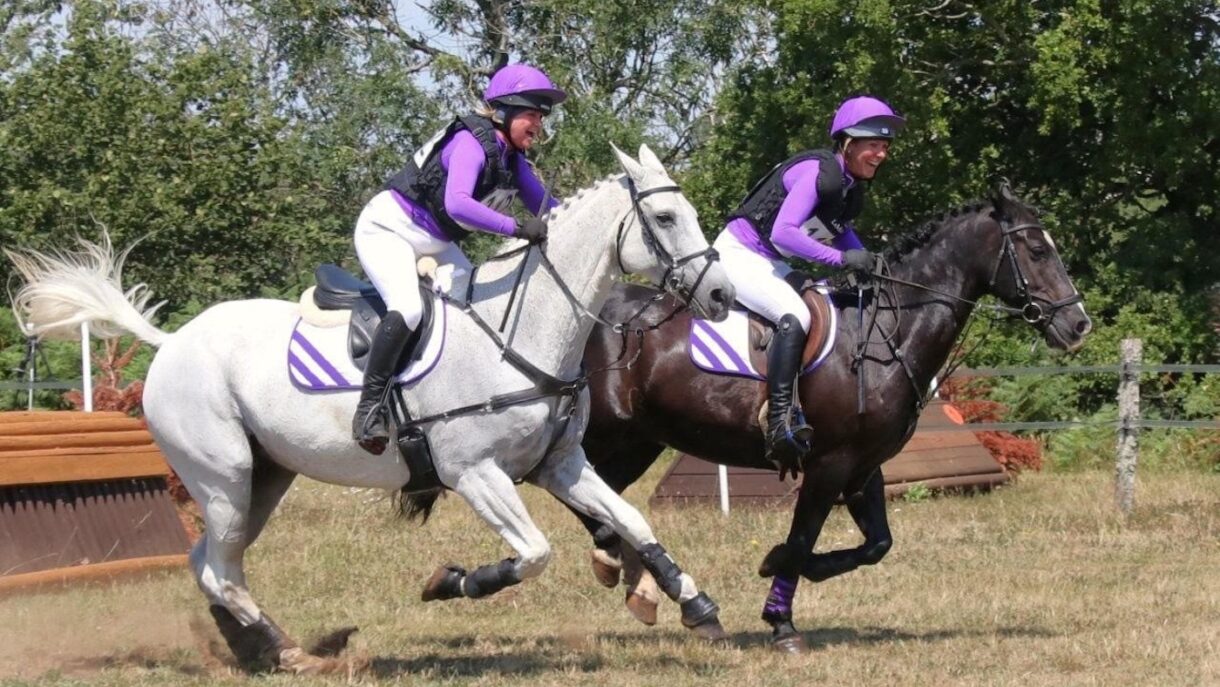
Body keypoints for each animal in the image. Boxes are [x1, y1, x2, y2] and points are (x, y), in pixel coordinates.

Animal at [5, 145, 737, 673]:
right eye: (665, 220)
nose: (722, 295)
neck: (516, 333)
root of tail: (173, 342)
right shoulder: (475, 473)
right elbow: (532, 554)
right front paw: (448, 582)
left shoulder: (560, 463)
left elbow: (633, 520)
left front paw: (697, 604)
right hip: (223, 478)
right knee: (220, 568)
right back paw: (289, 651)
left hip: (262, 478)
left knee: (210, 565)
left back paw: (252, 648)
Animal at [566, 182, 1092, 652]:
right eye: (1036, 250)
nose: (1078, 324)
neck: (888, 331)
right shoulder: (829, 464)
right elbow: (801, 540)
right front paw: (781, 622)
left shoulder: (863, 466)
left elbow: (876, 544)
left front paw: (775, 567)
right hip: (601, 433)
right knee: (577, 489)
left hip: (639, 440)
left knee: (601, 499)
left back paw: (633, 576)